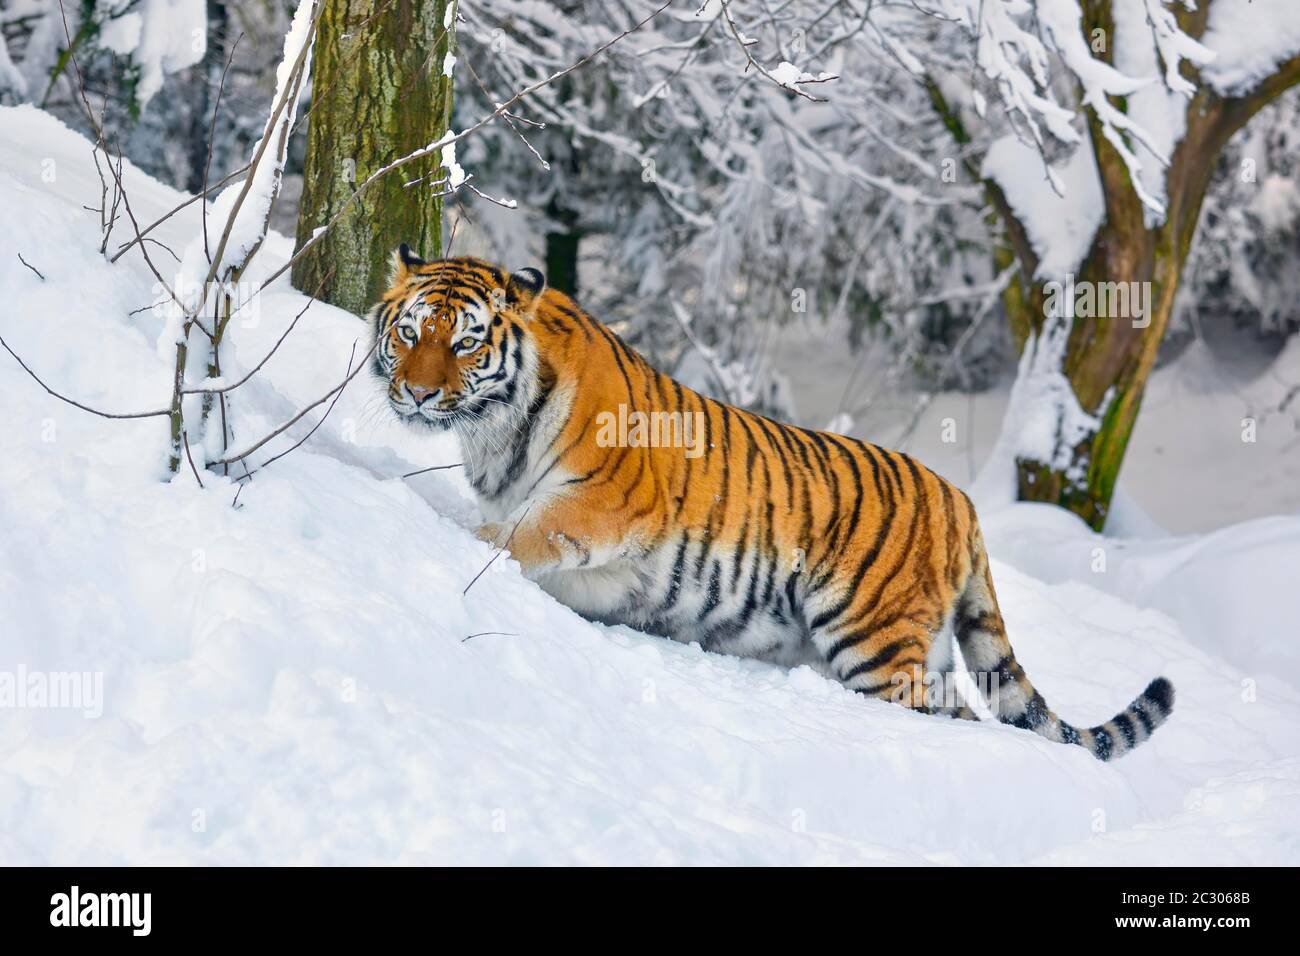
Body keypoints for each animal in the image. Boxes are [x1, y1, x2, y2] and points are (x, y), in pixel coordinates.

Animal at [370, 246, 1174, 761]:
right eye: (408, 332)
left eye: (467, 344)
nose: (417, 392)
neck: (492, 428)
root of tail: (962, 499)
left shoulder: (602, 505)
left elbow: (516, 538)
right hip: (924, 648)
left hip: (873, 639)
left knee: (934, 718)